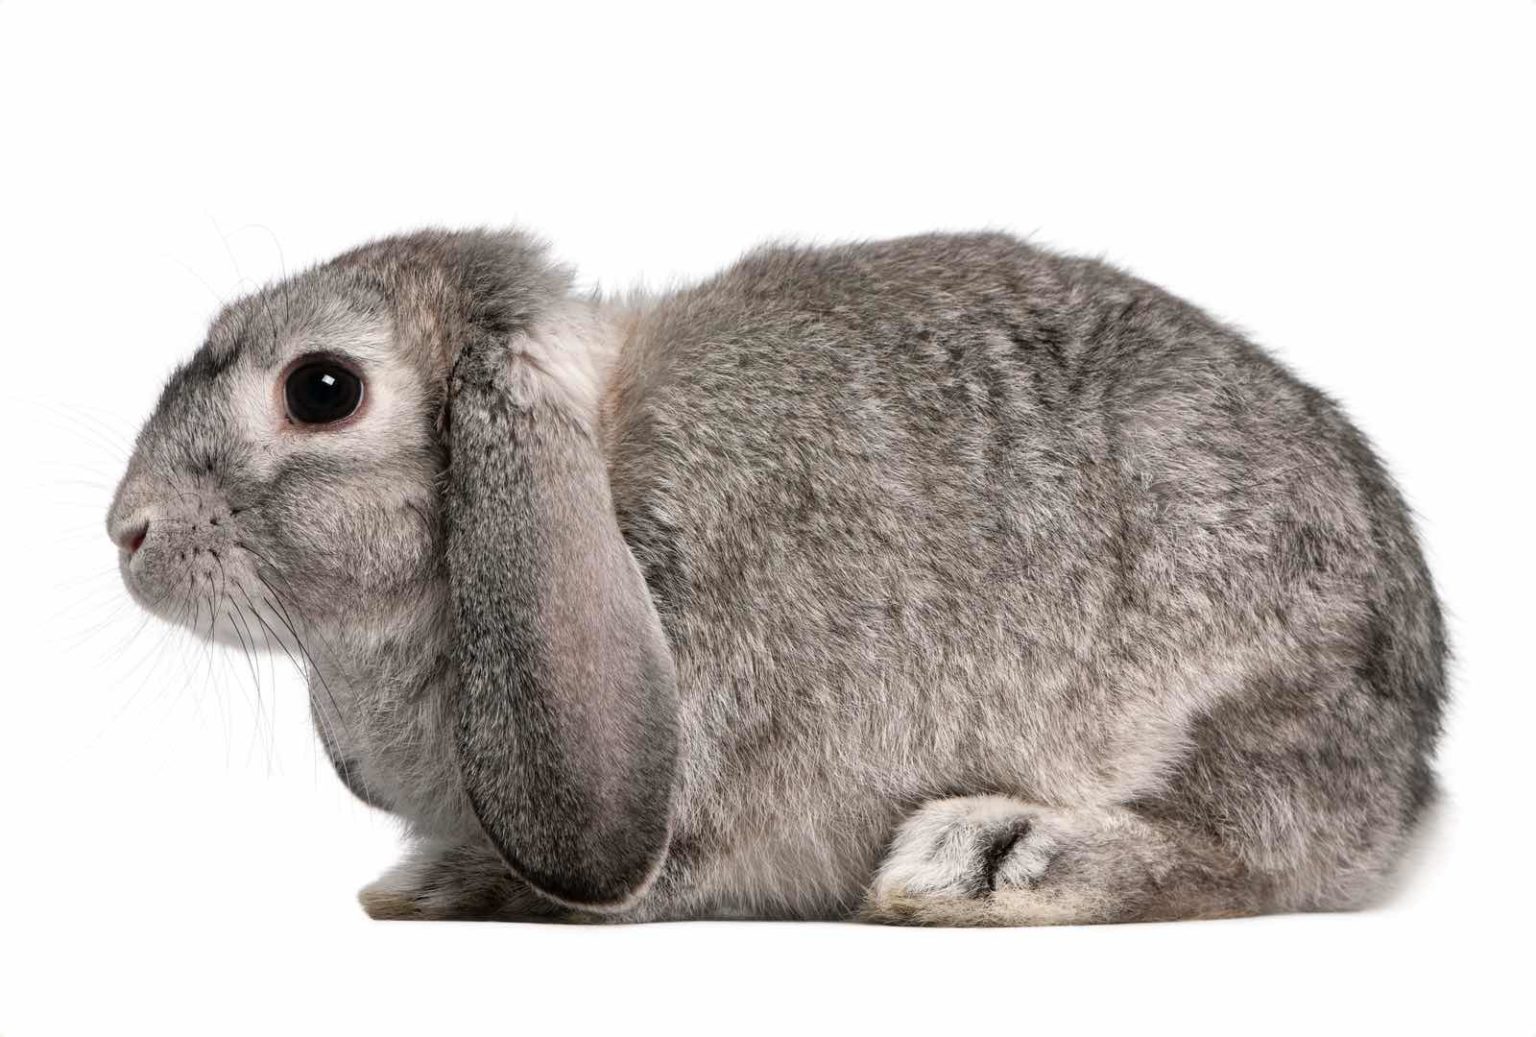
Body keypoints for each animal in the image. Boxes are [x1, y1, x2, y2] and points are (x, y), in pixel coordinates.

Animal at [107, 228, 1446, 925]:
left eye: (323, 388)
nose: (126, 529)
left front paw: (436, 890)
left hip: (1248, 688)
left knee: (1273, 844)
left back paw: (988, 859)